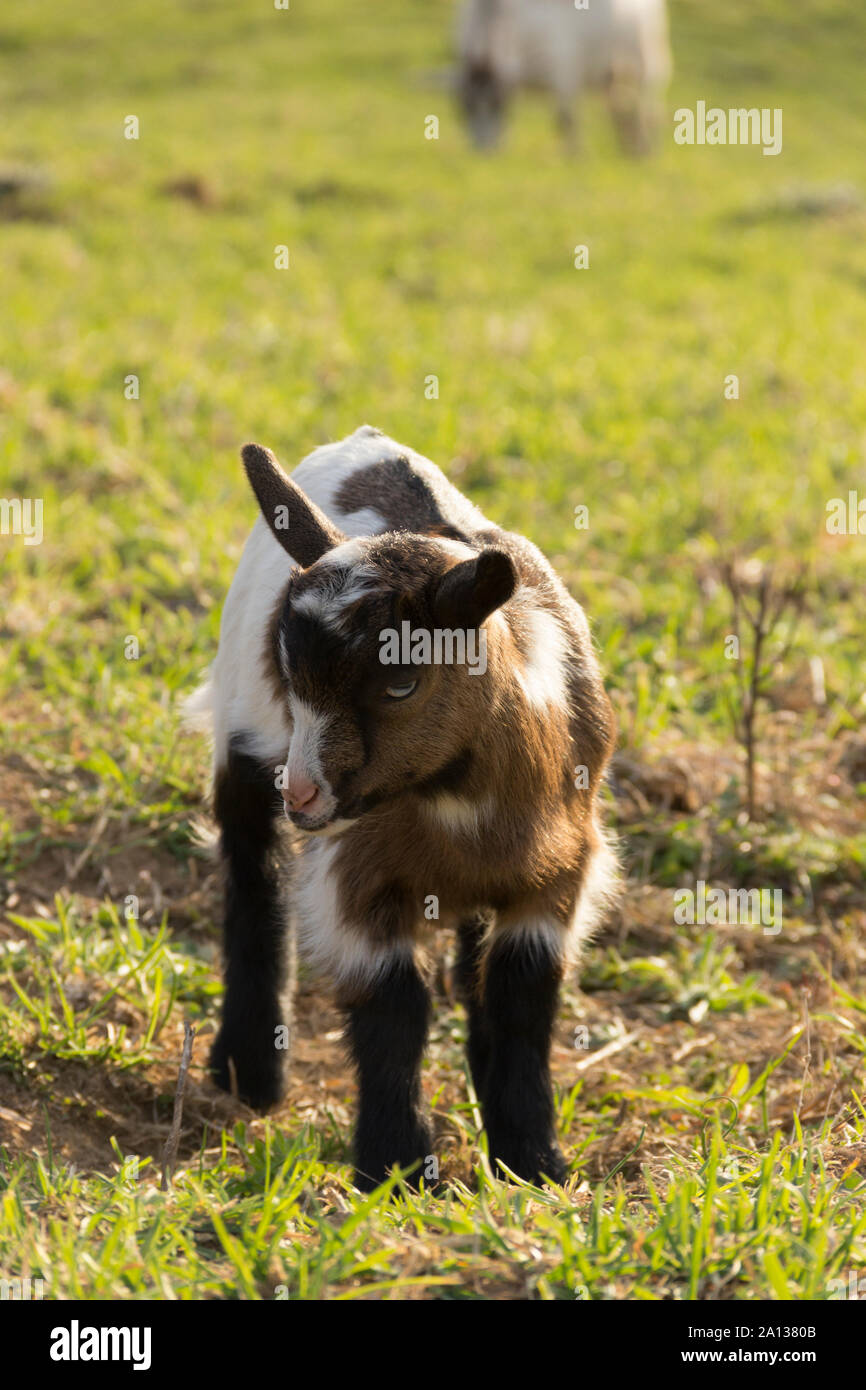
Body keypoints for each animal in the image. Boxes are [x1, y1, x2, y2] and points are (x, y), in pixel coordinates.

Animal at [190, 425, 617, 1190]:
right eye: (289, 668)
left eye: (402, 683)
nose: (303, 794)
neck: (455, 801)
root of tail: (366, 440)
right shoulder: (360, 874)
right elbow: (395, 1008)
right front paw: (398, 1170)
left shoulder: (558, 874)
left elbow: (522, 999)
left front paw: (532, 1163)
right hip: (239, 723)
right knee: (251, 872)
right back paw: (249, 1069)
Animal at [456, 0, 672, 153]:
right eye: (466, 107)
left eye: (497, 103)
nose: (483, 149)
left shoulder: (564, 69)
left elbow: (566, 118)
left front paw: (575, 155)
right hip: (614, 72)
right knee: (622, 106)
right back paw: (630, 147)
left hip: (646, 59)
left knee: (647, 106)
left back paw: (646, 145)